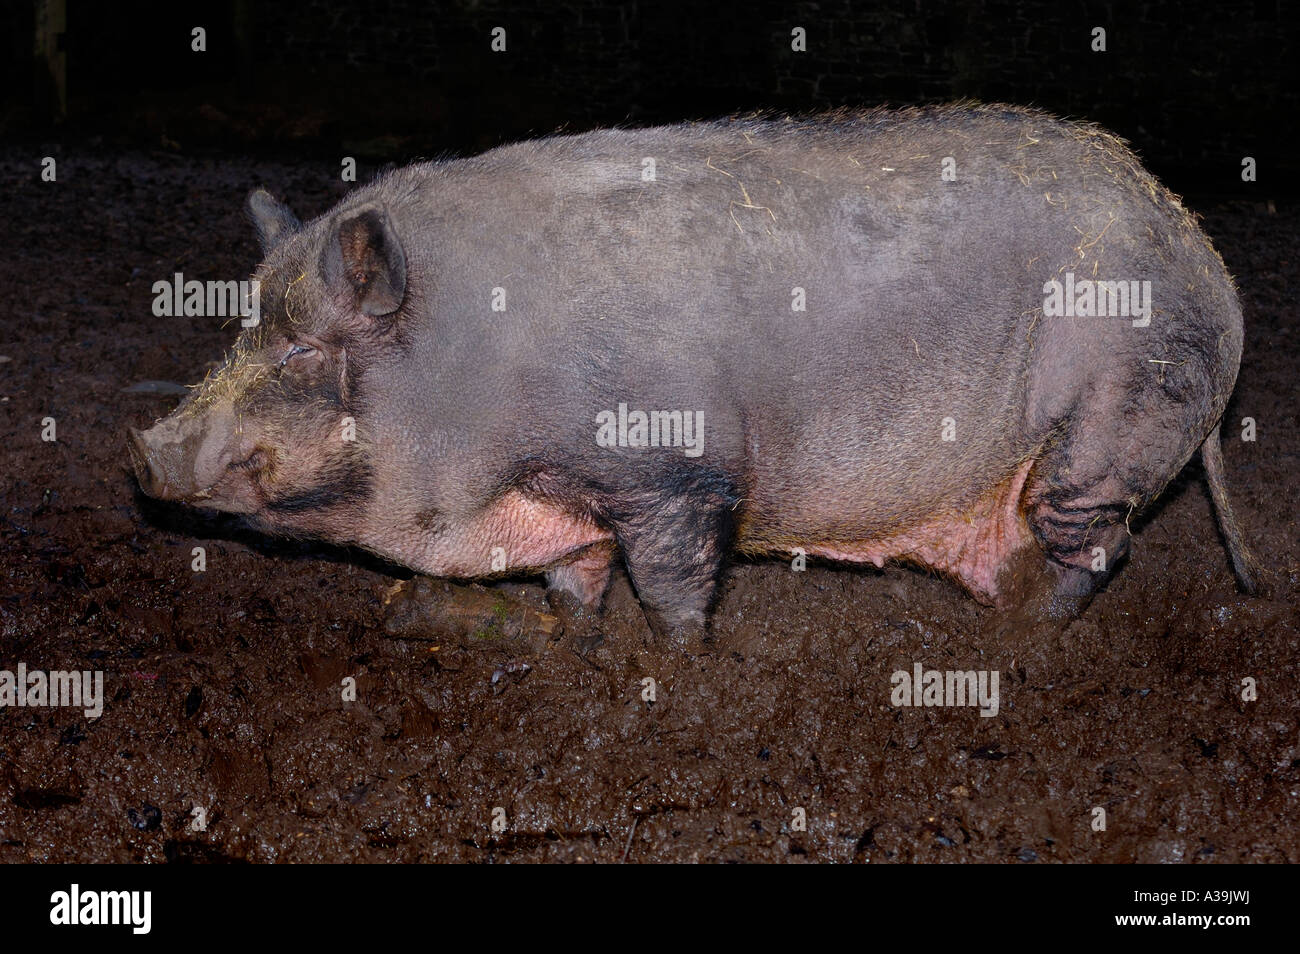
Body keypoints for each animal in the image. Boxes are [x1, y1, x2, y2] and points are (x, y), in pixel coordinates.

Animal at [129, 104, 1257, 641]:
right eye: (241, 332)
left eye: (303, 350)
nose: (143, 450)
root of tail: (1202, 253)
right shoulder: (564, 507)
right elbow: (575, 585)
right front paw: (575, 643)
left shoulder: (674, 472)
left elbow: (673, 589)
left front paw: (672, 668)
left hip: (1117, 413)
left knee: (1099, 544)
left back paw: (1021, 639)